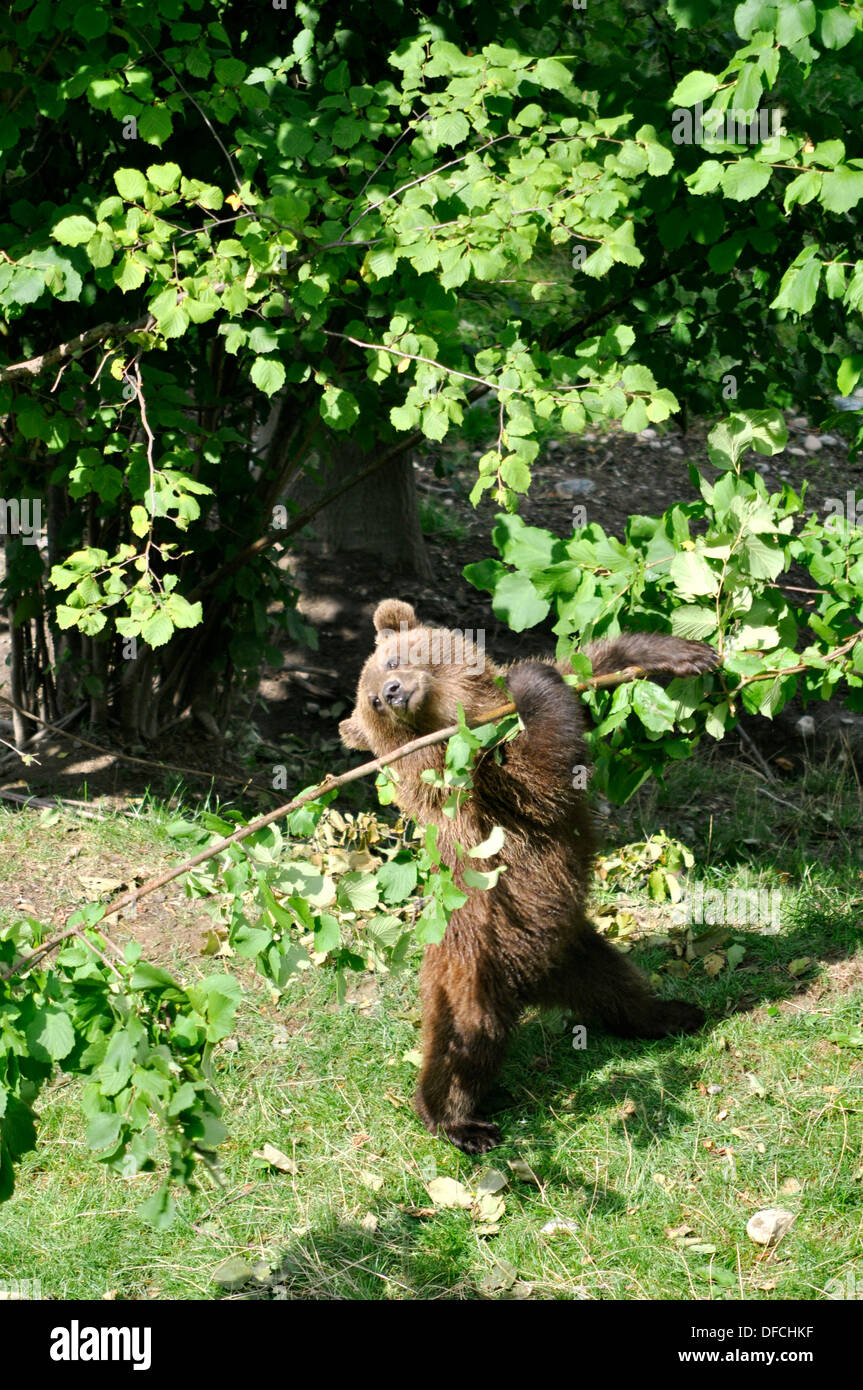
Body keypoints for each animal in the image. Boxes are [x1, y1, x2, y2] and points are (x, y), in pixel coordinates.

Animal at [339, 598, 718, 1155]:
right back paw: (458, 1123)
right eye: (372, 703)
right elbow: (539, 771)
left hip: (578, 948)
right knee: (462, 1046)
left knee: (621, 986)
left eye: (391, 661)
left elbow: (586, 673)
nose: (391, 692)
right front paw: (531, 682)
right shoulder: (479, 792)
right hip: (476, 965)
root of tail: (535, 985)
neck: (459, 715)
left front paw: (681, 652)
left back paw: (672, 1014)